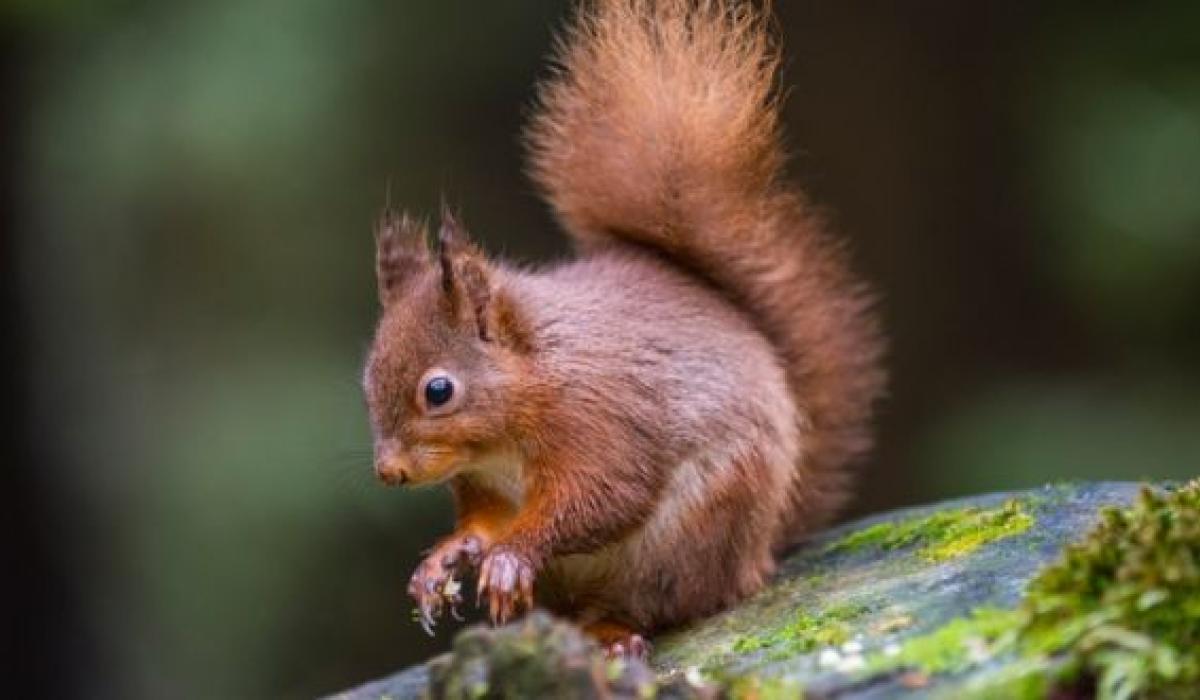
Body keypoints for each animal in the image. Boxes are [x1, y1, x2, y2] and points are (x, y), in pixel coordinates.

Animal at [362, 0, 885, 658]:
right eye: (365, 380)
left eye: (439, 391)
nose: (390, 472)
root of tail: (758, 556)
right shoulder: (486, 482)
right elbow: (484, 522)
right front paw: (445, 559)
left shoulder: (601, 423)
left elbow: (605, 497)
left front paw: (511, 555)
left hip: (689, 535)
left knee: (653, 606)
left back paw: (614, 635)